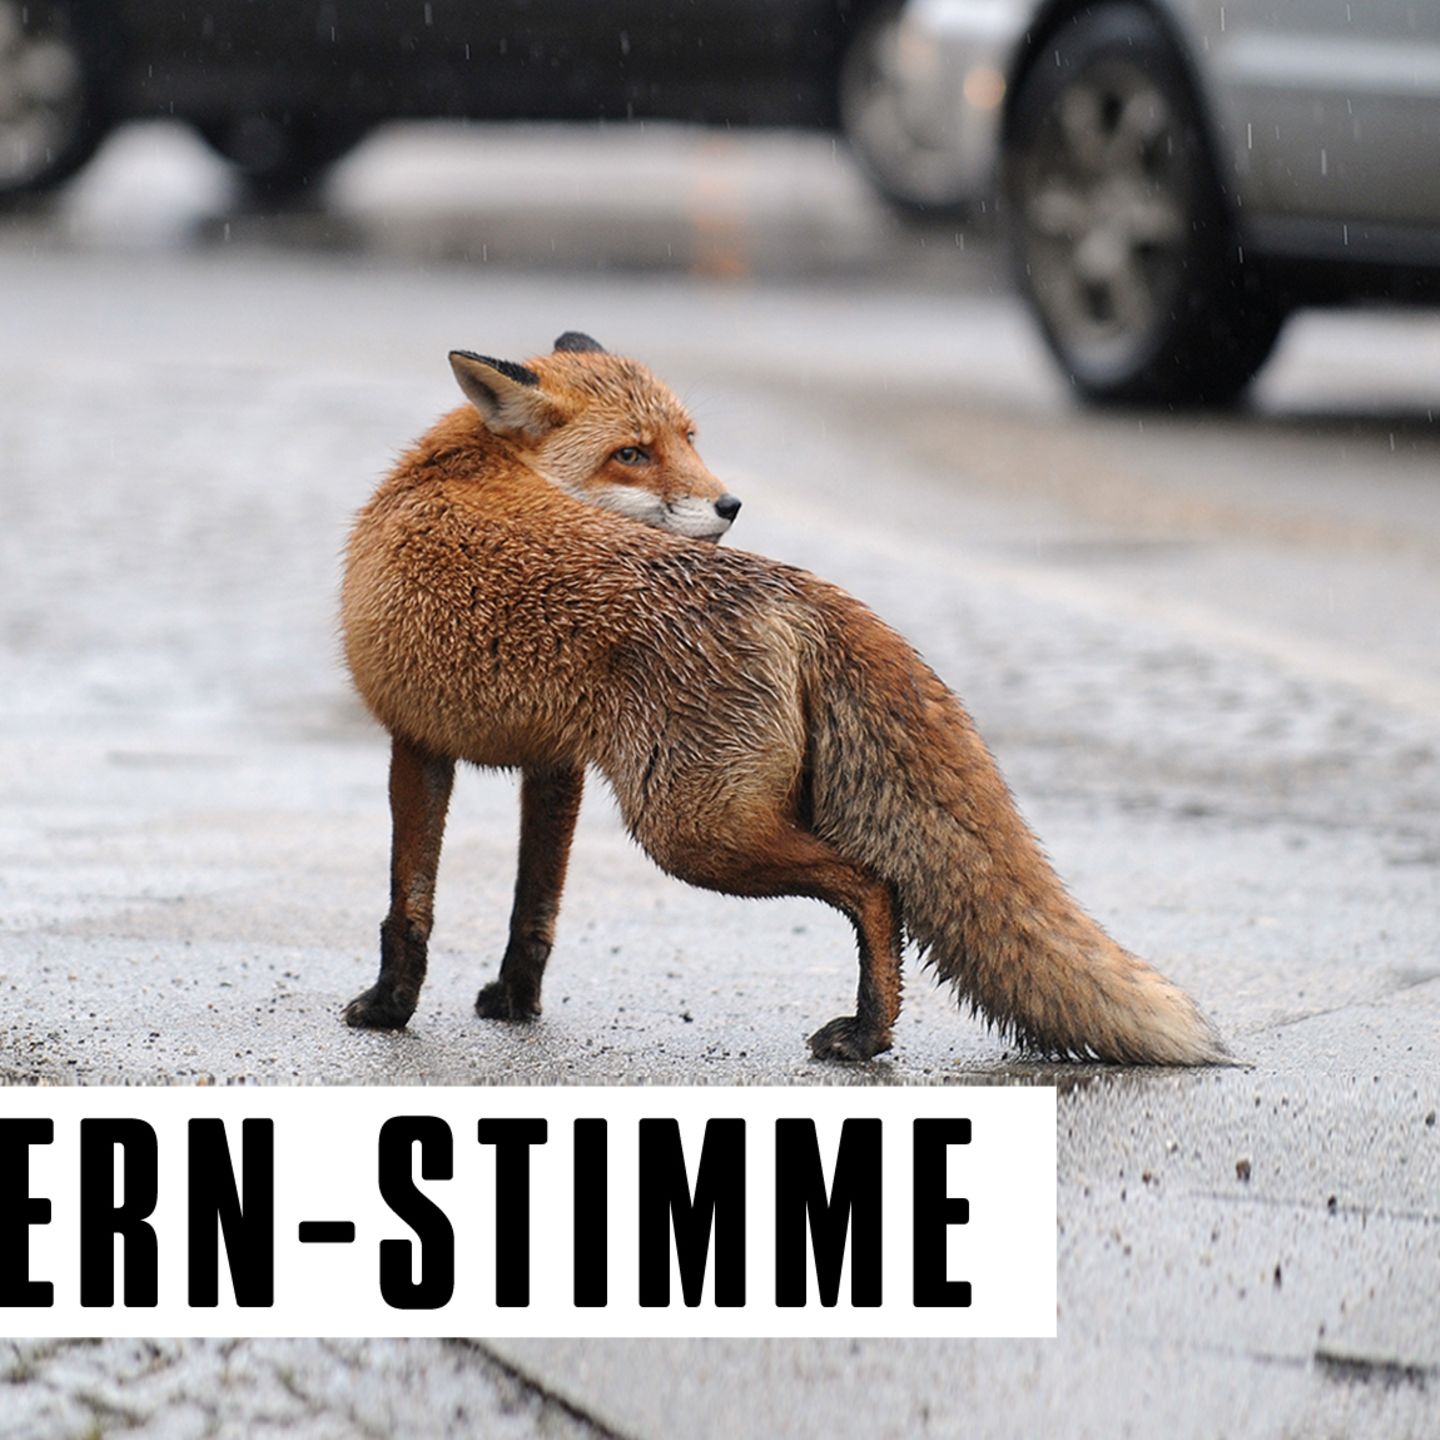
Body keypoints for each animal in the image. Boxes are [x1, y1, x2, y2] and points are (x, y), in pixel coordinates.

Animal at [339, 331, 1226, 1065]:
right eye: (632, 453)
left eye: (687, 440)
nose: (731, 504)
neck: (467, 466)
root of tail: (796, 588)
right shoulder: (554, 766)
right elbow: (536, 904)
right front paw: (515, 1002)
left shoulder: (413, 740)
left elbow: (407, 902)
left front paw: (388, 1009)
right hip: (706, 818)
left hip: (691, 830)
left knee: (876, 883)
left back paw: (867, 1033)